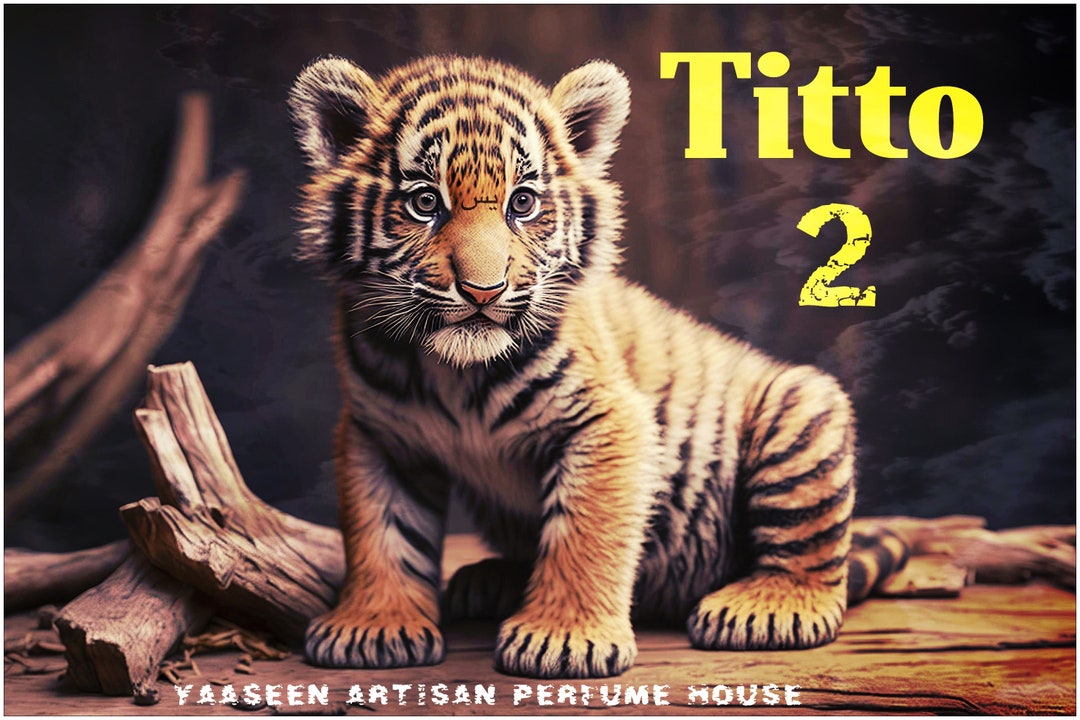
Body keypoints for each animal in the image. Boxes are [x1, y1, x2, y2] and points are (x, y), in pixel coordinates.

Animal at [288, 54, 858, 679]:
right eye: (424, 202)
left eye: (522, 203)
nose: (483, 291)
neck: (456, 373)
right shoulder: (378, 434)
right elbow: (381, 531)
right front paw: (372, 625)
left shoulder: (608, 421)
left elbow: (586, 531)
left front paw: (564, 637)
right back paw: (488, 582)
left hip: (798, 407)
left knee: (811, 556)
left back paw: (767, 606)